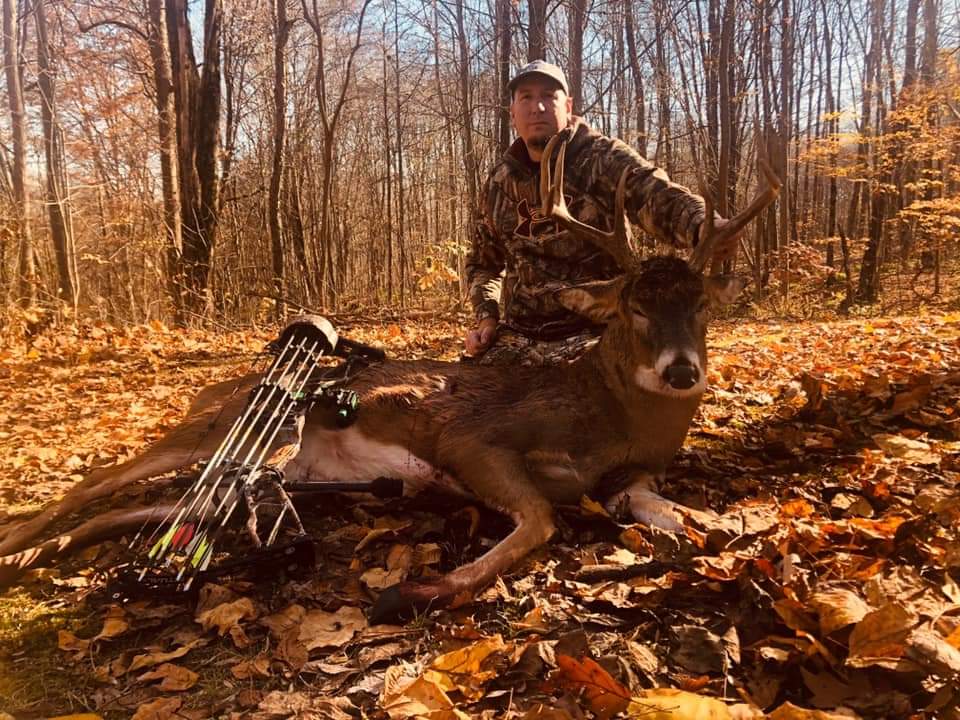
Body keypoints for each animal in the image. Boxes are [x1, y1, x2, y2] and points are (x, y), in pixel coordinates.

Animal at [0, 136, 779, 622]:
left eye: (701, 306)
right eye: (634, 306)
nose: (682, 371)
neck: (606, 420)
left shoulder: (629, 479)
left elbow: (692, 521)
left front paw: (742, 533)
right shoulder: (472, 439)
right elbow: (541, 520)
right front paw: (410, 593)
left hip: (255, 478)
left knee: (125, 515)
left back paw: (35, 555)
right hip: (221, 427)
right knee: (93, 481)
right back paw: (19, 536)